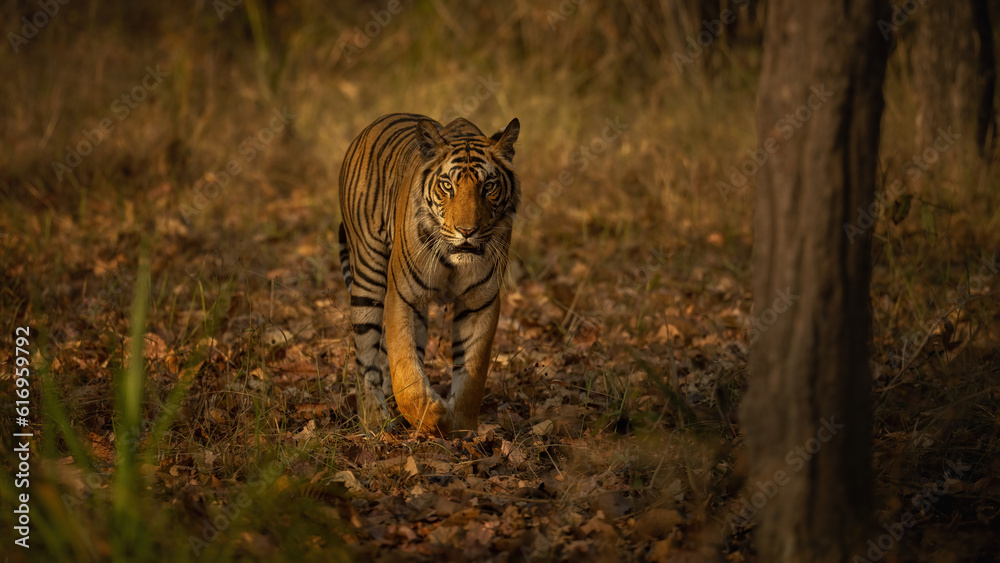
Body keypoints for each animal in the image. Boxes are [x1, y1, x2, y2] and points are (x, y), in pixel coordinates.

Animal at [337, 113, 520, 435]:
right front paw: (434, 416)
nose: (467, 231)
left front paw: (462, 430)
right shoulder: (403, 296)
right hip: (368, 277)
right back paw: (374, 419)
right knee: (366, 358)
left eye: (489, 186)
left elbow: (472, 372)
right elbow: (404, 368)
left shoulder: (480, 302)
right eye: (447, 186)